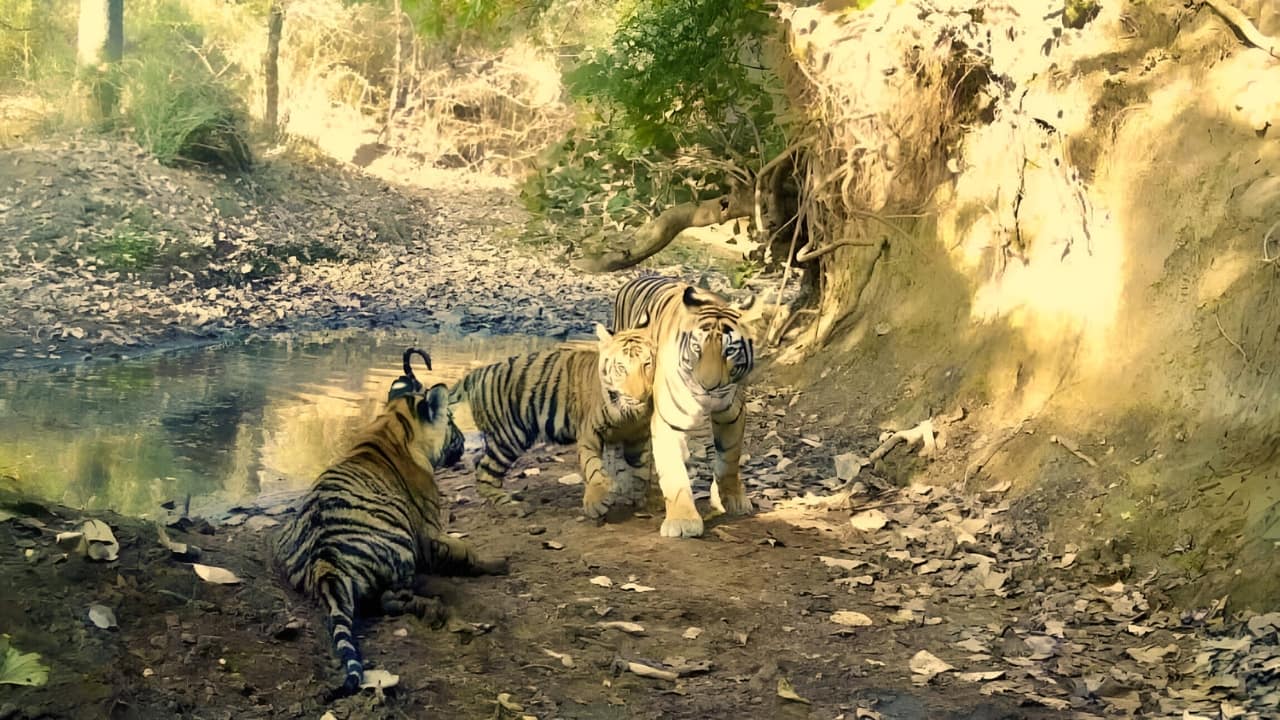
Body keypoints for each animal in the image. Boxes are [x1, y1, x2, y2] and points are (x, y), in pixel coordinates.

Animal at [272, 348, 507, 696]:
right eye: (451, 421)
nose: (467, 440)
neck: (392, 426)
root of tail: (325, 565)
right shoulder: (429, 531)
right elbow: (466, 551)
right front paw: (499, 563)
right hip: (401, 547)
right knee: (389, 598)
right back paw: (433, 609)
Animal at [449, 323, 656, 519]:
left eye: (647, 365)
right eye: (621, 368)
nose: (639, 397)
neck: (629, 414)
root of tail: (478, 372)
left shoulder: (639, 434)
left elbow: (641, 467)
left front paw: (637, 496)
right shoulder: (589, 433)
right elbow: (593, 467)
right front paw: (596, 503)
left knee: (479, 462)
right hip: (509, 437)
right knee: (484, 473)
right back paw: (513, 506)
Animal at [610, 274, 756, 538]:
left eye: (729, 350)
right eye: (697, 348)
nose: (708, 387)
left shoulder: (732, 412)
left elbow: (729, 458)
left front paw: (732, 499)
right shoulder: (669, 420)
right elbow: (674, 473)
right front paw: (682, 521)